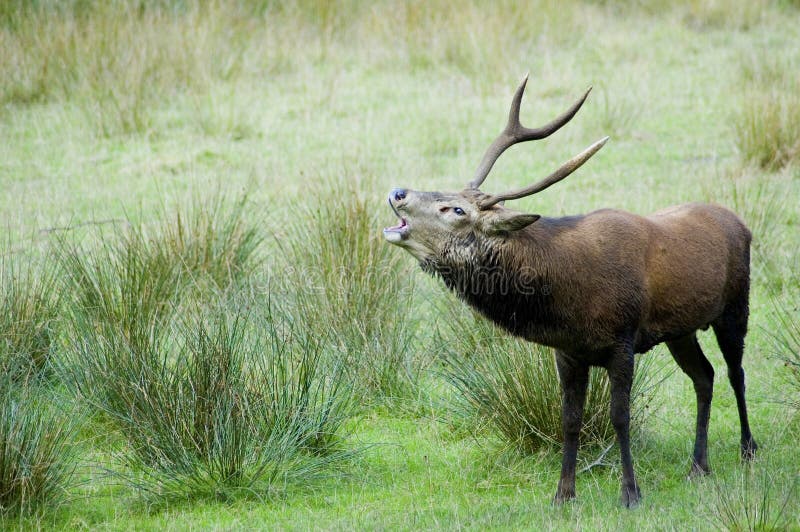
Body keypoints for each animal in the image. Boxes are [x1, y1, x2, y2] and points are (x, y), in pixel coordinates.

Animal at [383, 76, 757, 507]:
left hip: (736, 305)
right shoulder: (569, 352)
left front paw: (630, 492)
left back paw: (748, 449)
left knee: (735, 372)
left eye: (457, 210)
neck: (570, 296)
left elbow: (619, 416)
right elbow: (570, 420)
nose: (398, 192)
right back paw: (699, 465)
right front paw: (563, 493)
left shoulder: (622, 339)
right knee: (705, 375)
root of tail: (741, 223)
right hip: (680, 330)